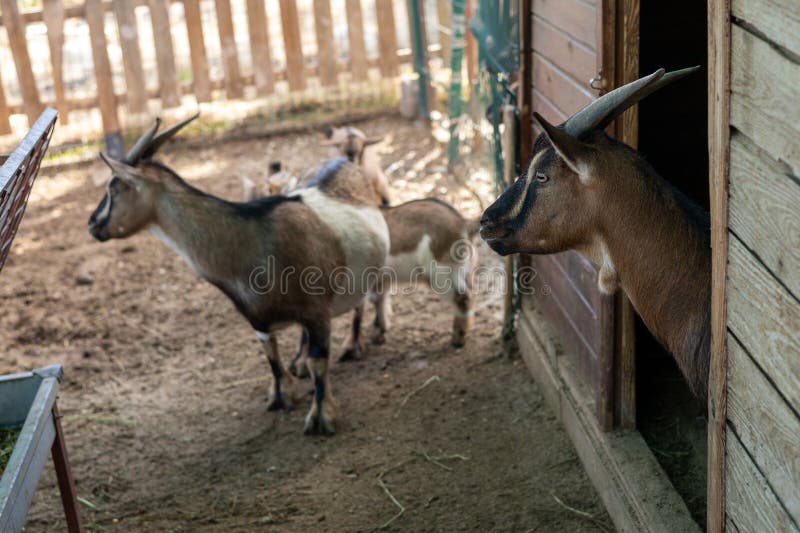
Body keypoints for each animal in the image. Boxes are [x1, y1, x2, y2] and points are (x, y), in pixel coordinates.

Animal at [88, 115, 390, 435]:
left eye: (114, 187)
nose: (92, 224)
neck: (253, 239)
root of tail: (342, 161)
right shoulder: (258, 319)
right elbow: (271, 354)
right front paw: (281, 396)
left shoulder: (317, 312)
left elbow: (319, 363)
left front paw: (321, 419)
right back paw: (300, 361)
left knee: (361, 303)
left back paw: (354, 345)